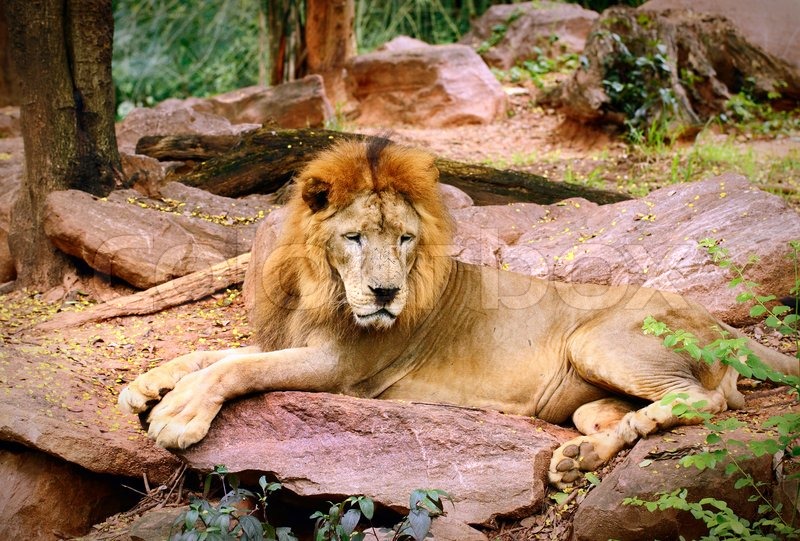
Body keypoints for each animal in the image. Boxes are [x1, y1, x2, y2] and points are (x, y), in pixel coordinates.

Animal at [119, 137, 799, 488]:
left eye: (405, 239)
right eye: (355, 238)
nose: (386, 295)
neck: (321, 287)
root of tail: (722, 322)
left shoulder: (340, 368)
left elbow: (236, 368)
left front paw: (177, 415)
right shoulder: (300, 341)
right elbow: (211, 352)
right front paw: (146, 386)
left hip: (597, 342)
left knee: (706, 400)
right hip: (587, 396)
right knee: (623, 414)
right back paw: (582, 455)